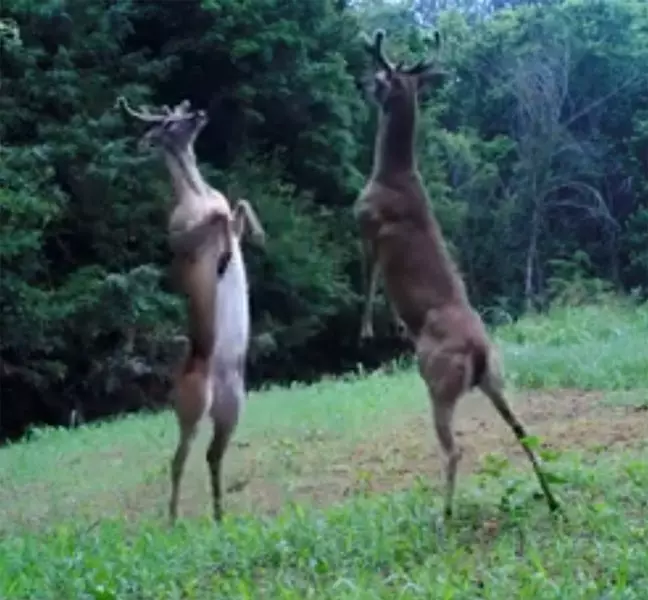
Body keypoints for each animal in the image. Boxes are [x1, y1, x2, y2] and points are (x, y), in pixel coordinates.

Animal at [117, 96, 266, 524]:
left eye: (180, 112)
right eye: (169, 122)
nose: (199, 112)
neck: (197, 194)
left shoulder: (223, 210)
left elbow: (236, 206)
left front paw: (259, 236)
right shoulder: (180, 240)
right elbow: (217, 220)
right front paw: (224, 259)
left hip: (234, 407)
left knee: (212, 455)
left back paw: (219, 515)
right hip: (192, 407)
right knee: (178, 459)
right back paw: (172, 520)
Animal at [352, 28, 560, 516]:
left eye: (379, 76)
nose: (358, 82)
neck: (392, 174)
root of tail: (480, 352)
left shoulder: (366, 225)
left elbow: (369, 280)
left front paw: (367, 330)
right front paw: (390, 325)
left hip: (437, 379)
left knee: (454, 448)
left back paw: (444, 515)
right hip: (497, 378)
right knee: (523, 430)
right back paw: (553, 500)